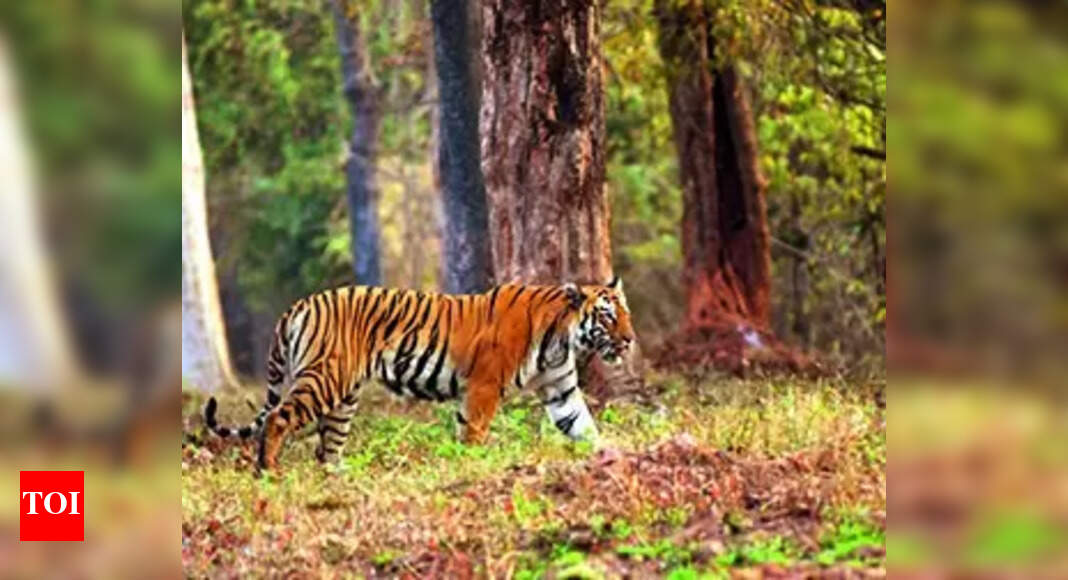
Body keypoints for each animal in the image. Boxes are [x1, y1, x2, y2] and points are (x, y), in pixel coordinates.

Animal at [204, 278, 635, 470]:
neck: (562, 338)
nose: (630, 340)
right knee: (277, 418)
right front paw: (471, 466)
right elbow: (474, 432)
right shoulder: (484, 386)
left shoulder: (559, 388)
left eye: (626, 313)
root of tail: (299, 305)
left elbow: (583, 426)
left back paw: (336, 477)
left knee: (326, 445)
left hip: (344, 397)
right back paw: (269, 472)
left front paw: (608, 455)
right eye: (607, 317)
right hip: (325, 380)